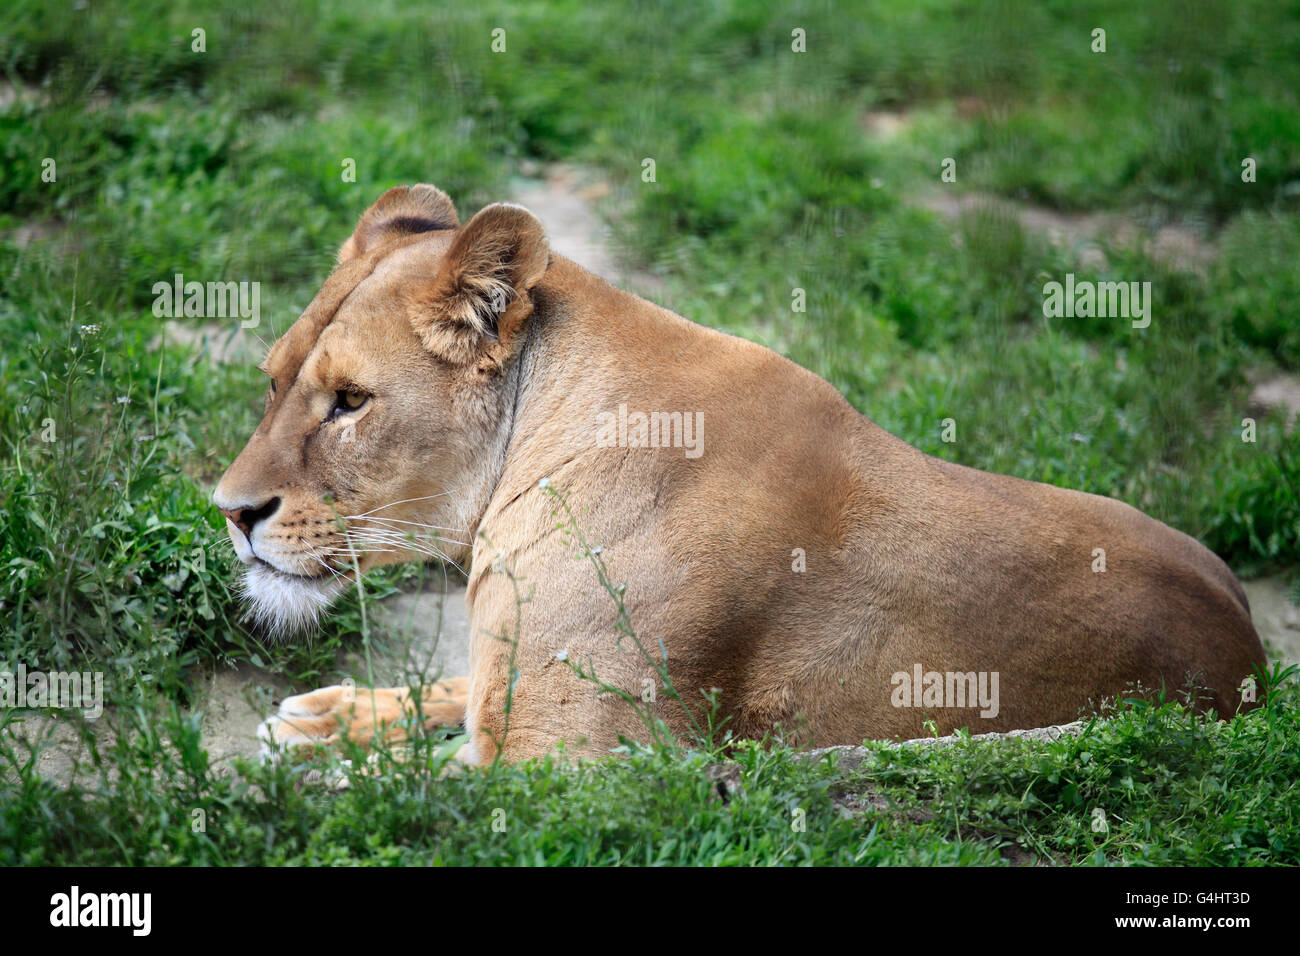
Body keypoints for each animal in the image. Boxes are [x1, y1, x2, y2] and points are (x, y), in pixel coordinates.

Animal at [213, 182, 1267, 764]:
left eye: (351, 401)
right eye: (272, 380)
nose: (230, 511)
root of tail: (1257, 657)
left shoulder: (585, 777)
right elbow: (462, 698)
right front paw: (326, 721)